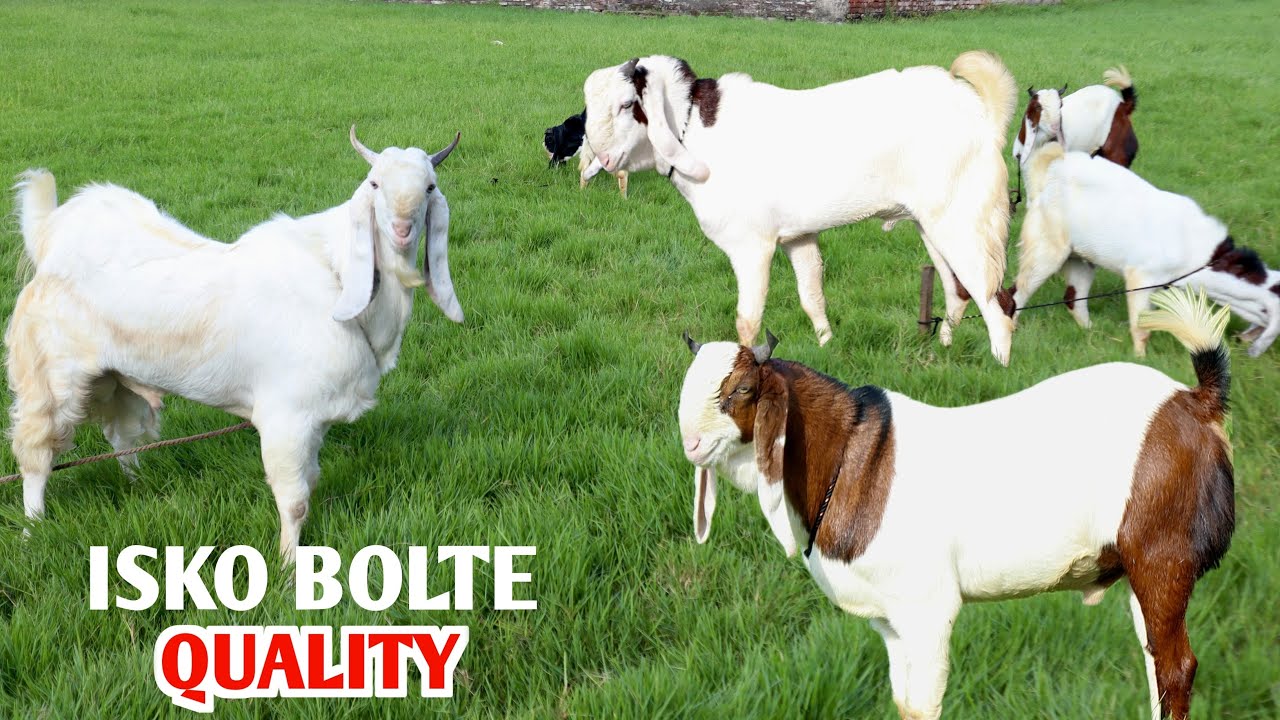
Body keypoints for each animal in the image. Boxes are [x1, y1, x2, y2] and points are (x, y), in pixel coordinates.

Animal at [6, 128, 463, 562]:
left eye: (429, 187)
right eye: (374, 184)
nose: (402, 230)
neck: (338, 278)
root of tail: (48, 238)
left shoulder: (314, 418)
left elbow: (313, 480)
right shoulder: (286, 416)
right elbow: (295, 501)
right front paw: (289, 569)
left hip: (114, 378)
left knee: (121, 438)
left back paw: (137, 486)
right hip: (50, 379)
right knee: (37, 456)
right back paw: (32, 531)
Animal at [584, 52, 1020, 364]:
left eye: (627, 104)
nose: (602, 160)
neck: (695, 131)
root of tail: (983, 115)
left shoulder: (752, 246)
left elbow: (748, 321)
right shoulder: (798, 236)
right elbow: (812, 297)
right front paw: (827, 346)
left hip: (964, 222)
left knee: (995, 303)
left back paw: (1000, 368)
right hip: (933, 225)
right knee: (958, 291)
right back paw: (943, 348)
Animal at [677, 286, 1235, 720]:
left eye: (743, 389)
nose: (690, 443)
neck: (854, 455)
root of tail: (1195, 401)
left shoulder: (927, 608)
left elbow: (925, 705)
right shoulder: (890, 621)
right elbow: (905, 704)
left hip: (1162, 554)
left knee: (1176, 668)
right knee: (1155, 662)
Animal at [1010, 142, 1278, 356]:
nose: (1243, 342)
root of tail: (1044, 184)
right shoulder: (1141, 277)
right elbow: (1141, 326)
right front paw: (1140, 359)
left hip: (1081, 259)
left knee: (1074, 299)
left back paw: (1091, 334)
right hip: (1045, 250)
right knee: (1016, 294)